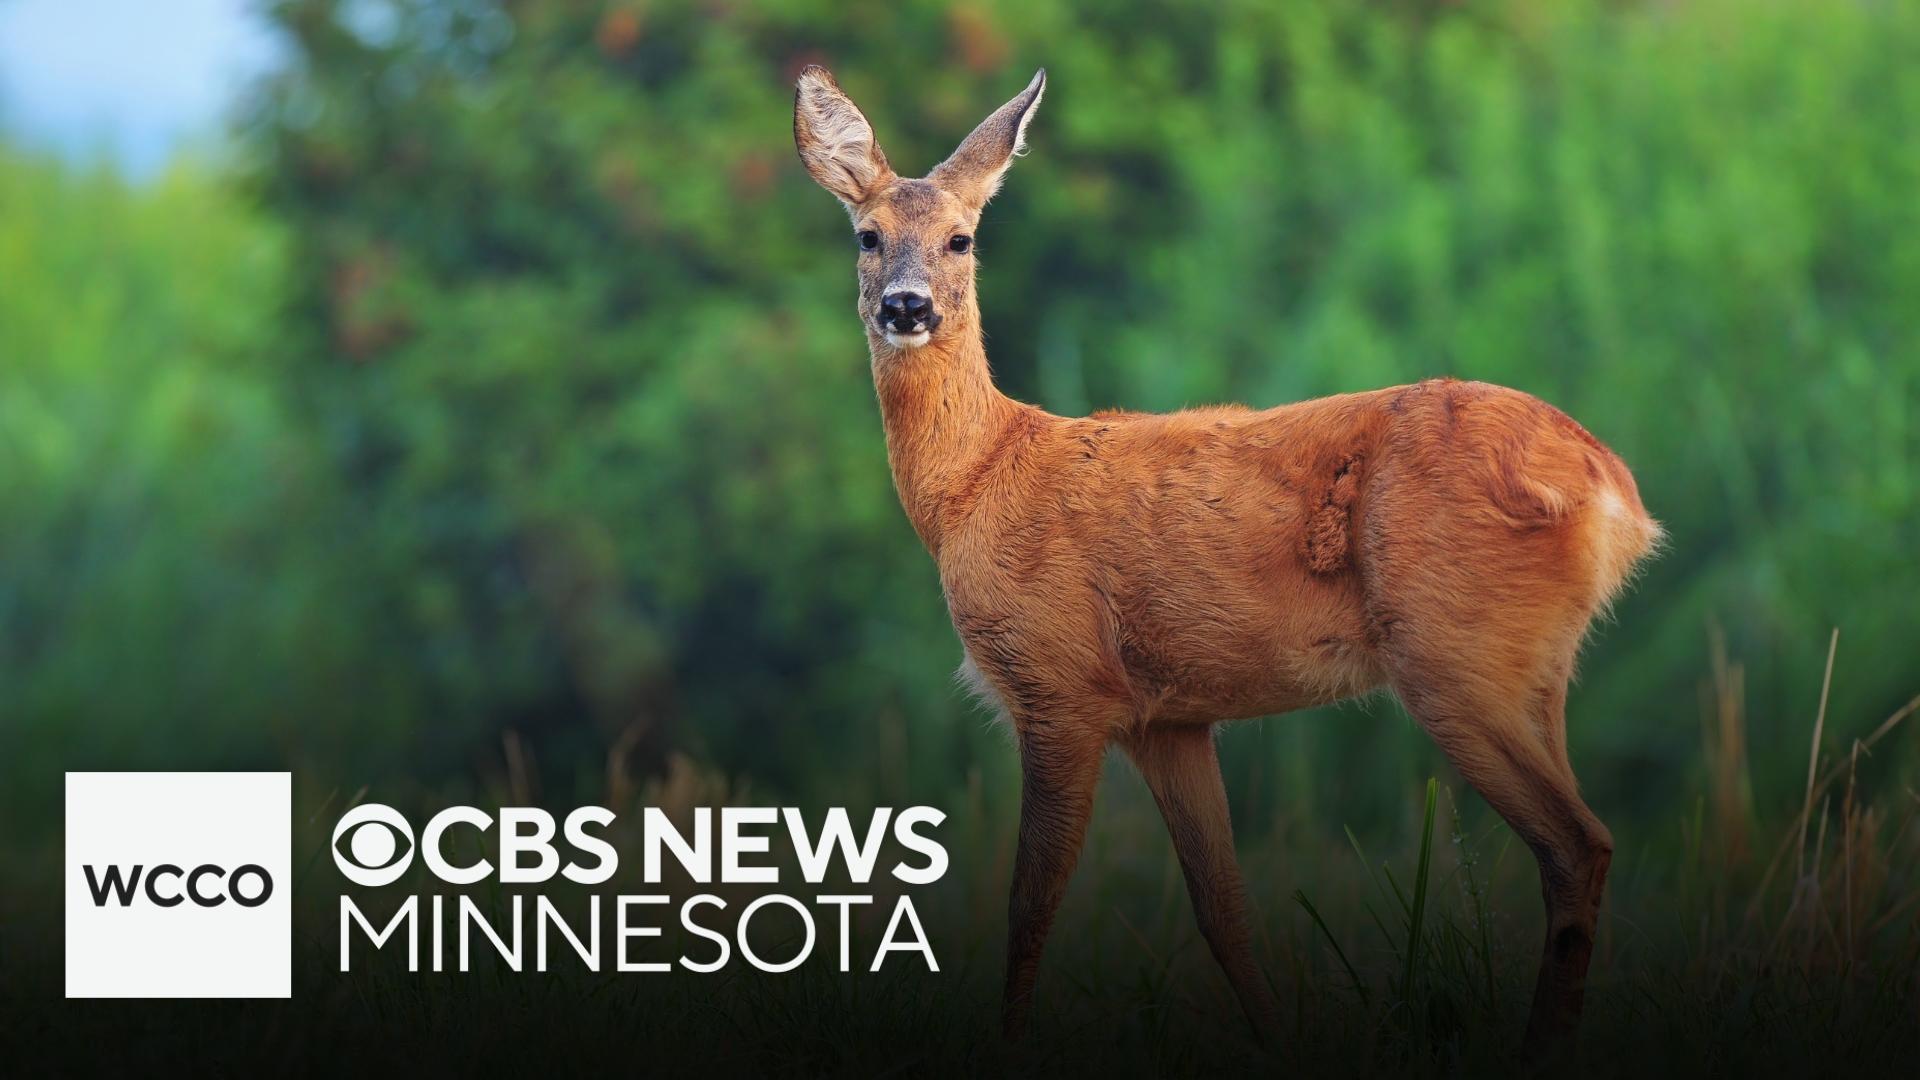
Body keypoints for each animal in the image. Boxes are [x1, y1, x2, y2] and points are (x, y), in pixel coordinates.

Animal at [793, 65, 1660, 1056]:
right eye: (867, 235)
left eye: (961, 237)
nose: (907, 306)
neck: (977, 480)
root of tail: (1610, 490)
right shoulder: (1167, 717)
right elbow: (1223, 907)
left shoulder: (1059, 681)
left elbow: (1029, 902)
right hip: (1538, 668)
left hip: (1452, 650)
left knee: (1577, 842)